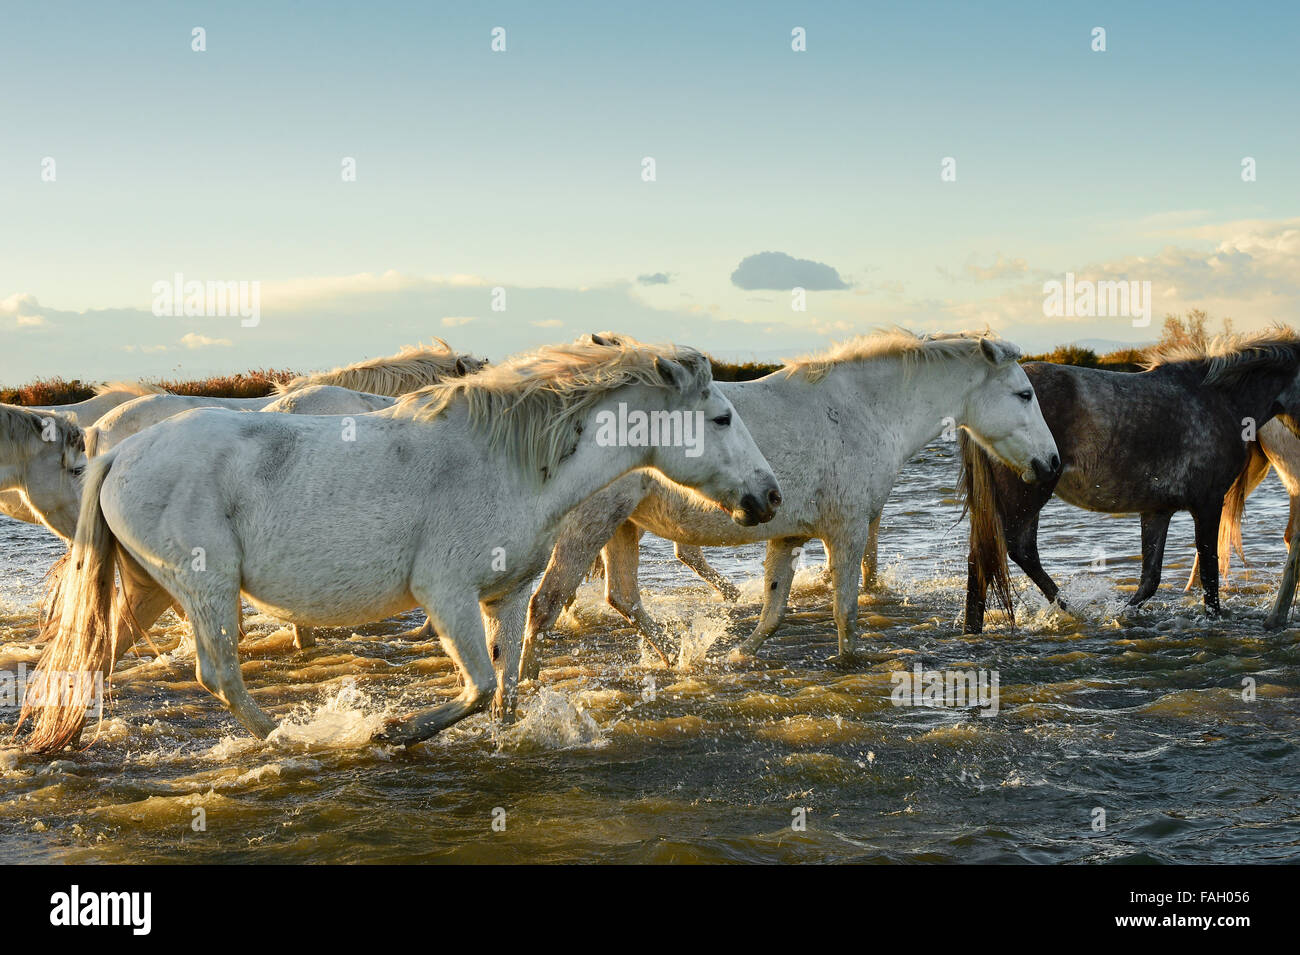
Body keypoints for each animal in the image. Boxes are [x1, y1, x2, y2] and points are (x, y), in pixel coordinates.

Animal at [18, 337, 782, 754]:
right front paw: (391, 730)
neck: (506, 462)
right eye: (721, 416)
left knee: (95, 657)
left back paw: (53, 741)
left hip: (148, 588)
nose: (769, 497)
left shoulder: (507, 595)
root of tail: (118, 451)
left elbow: (506, 691)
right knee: (218, 675)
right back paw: (293, 741)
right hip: (203, 587)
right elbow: (478, 686)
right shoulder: (446, 596)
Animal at [519, 329, 1060, 676]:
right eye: (1024, 393)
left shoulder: (790, 535)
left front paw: (737, 656)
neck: (865, 411)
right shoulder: (847, 532)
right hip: (592, 525)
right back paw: (521, 693)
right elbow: (845, 612)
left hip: (623, 525)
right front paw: (848, 664)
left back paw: (680, 659)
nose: (1051, 463)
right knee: (544, 606)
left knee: (624, 598)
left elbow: (773, 612)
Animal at [960, 329, 1300, 634]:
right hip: (1029, 493)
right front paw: (1213, 620)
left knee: (998, 557)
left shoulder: (1157, 510)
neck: (1219, 400)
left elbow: (1150, 579)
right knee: (1006, 552)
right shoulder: (1208, 503)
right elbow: (1209, 571)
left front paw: (1121, 615)